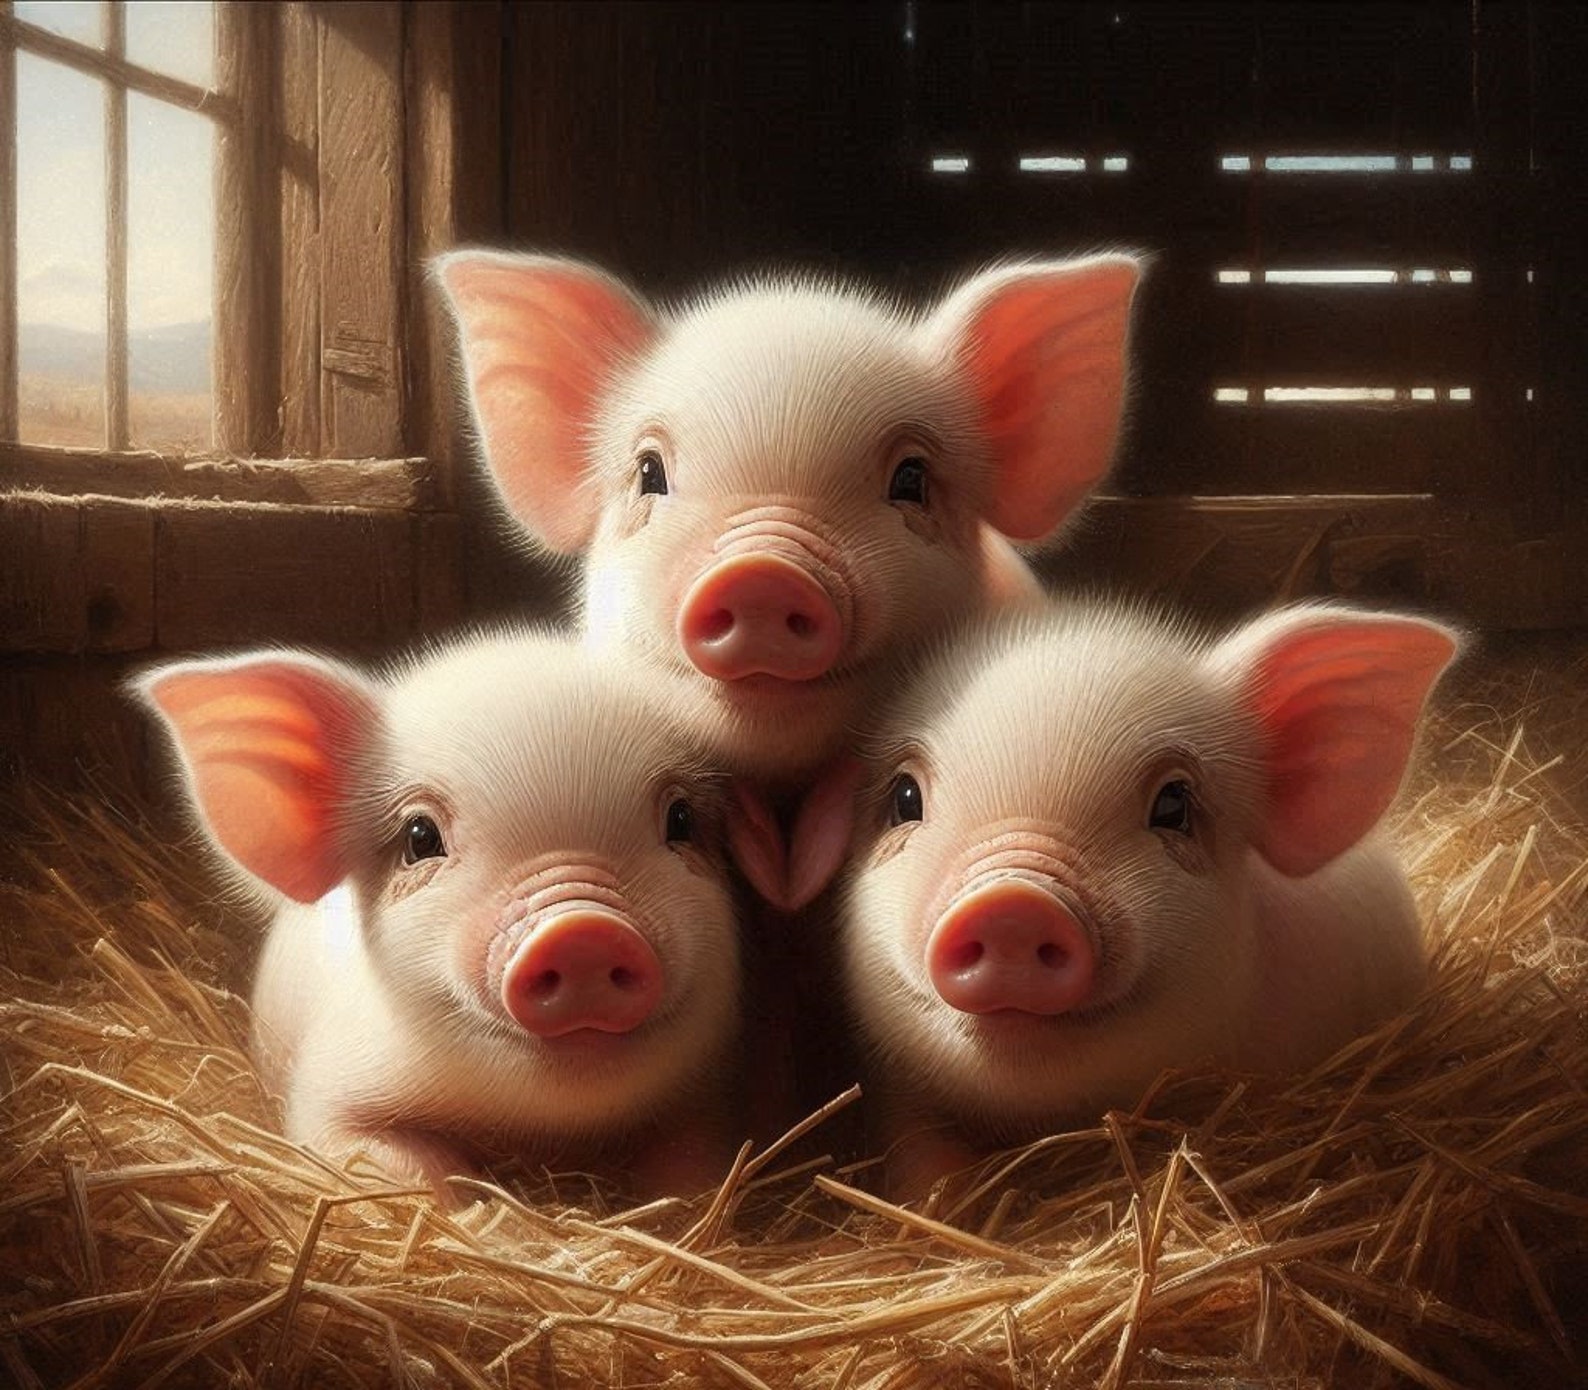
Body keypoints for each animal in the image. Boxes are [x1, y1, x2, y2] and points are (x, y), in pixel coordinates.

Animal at [133, 630, 744, 1199]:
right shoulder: (326, 1095)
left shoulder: (705, 1100)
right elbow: (399, 1164)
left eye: (682, 819)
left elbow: (694, 1169)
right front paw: (489, 1215)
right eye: (420, 837)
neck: (543, 1134)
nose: (582, 930)